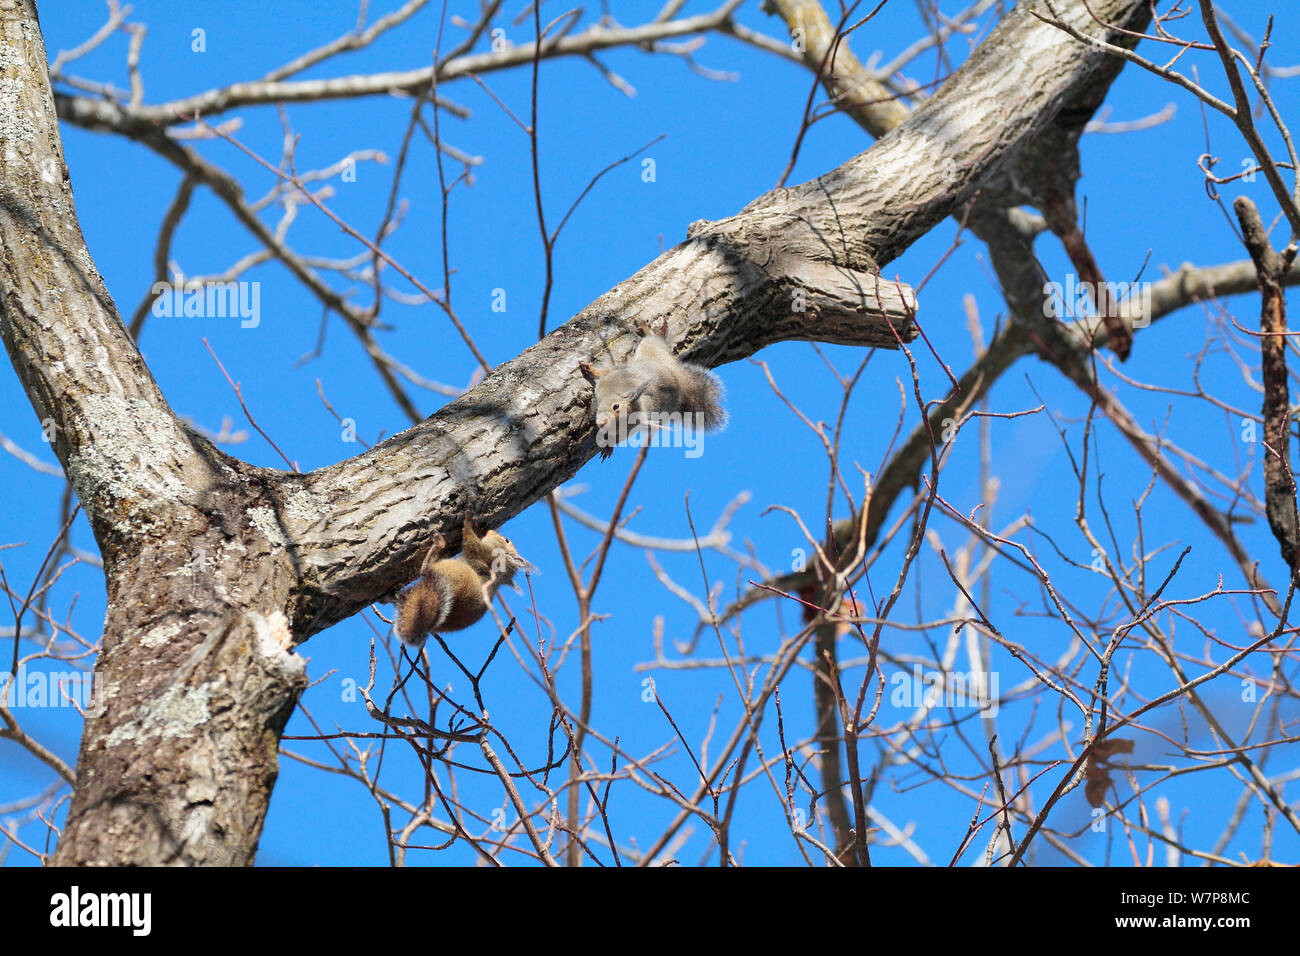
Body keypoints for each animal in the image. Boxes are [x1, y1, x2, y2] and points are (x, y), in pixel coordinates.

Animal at [393, 515, 532, 647]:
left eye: (506, 540)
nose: (491, 530)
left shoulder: (484, 554)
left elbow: (471, 543)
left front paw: (468, 520)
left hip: (449, 568)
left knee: (425, 568)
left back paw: (438, 543)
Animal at [579, 319, 726, 459]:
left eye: (629, 425)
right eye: (615, 406)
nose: (604, 424)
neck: (615, 391)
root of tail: (679, 378)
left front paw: (610, 445)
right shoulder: (616, 373)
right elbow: (604, 372)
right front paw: (590, 370)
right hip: (651, 349)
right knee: (652, 338)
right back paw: (645, 328)